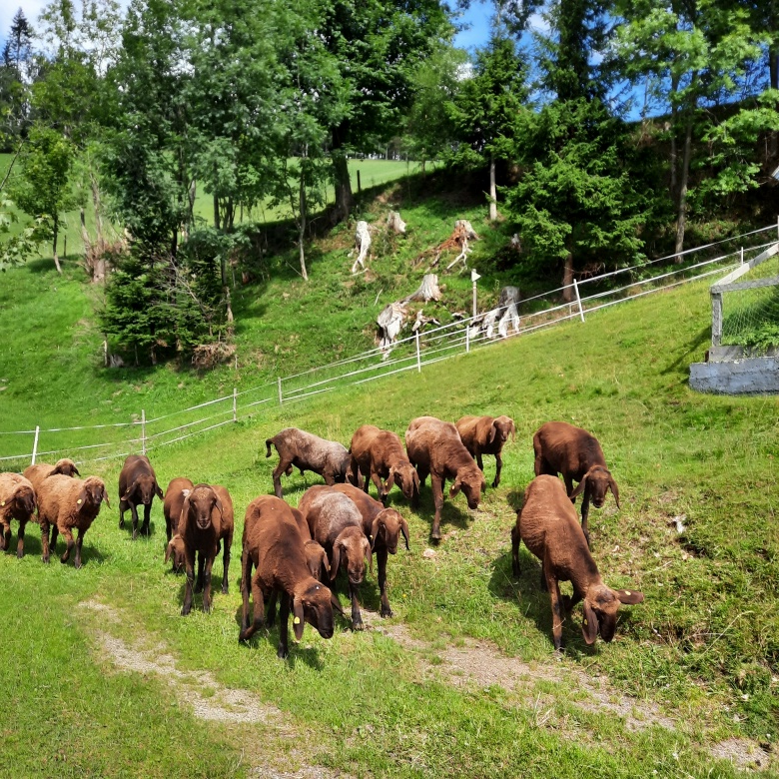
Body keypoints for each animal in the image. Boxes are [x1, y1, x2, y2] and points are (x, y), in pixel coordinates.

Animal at [178, 483, 234, 614]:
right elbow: (190, 574)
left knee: (226, 558)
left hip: (229, 533)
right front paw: (186, 607)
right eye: (193, 502)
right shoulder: (188, 546)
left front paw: (206, 606)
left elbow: (207, 575)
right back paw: (198, 586)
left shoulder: (211, 548)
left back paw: (225, 587)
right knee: (200, 560)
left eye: (212, 502)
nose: (204, 521)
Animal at [239, 495, 335, 658]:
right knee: (246, 587)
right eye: (310, 605)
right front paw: (245, 636)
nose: (329, 632)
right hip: (246, 548)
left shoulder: (287, 589)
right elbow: (258, 618)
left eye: (329, 602)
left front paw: (283, 649)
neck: (287, 555)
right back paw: (244, 625)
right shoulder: (257, 581)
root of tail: (265, 496)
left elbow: (284, 615)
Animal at [299, 486, 371, 630]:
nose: (357, 573)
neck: (346, 520)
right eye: (344, 548)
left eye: (364, 548)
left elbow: (354, 589)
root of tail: (313, 487)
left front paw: (357, 620)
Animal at [332, 483, 409, 618]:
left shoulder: (382, 550)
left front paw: (386, 609)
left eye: (400, 525)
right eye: (383, 525)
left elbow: (382, 578)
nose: (392, 546)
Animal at [511, 474, 643, 650]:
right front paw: (558, 640)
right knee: (514, 534)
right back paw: (516, 570)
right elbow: (556, 605)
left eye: (617, 610)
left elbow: (577, 596)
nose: (608, 638)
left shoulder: (574, 576)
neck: (573, 548)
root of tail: (545, 476)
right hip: (522, 515)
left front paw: (567, 604)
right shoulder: (552, 573)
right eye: (598, 613)